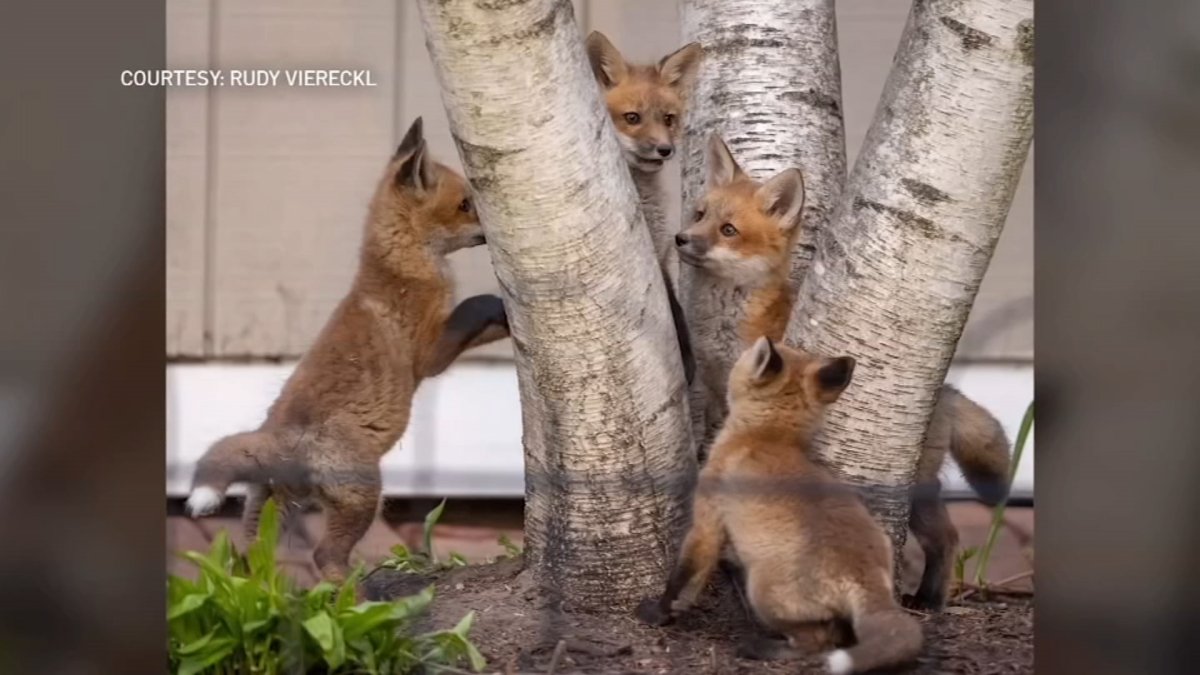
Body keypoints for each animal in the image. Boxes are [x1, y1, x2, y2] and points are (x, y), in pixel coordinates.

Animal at [183, 118, 510, 583]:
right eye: (466, 204)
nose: (496, 233)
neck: (403, 265)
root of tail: (278, 439)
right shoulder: (429, 353)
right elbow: (473, 306)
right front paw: (500, 305)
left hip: (272, 509)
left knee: (250, 560)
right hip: (362, 494)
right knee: (325, 556)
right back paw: (356, 593)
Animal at [637, 336, 923, 674]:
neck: (768, 437)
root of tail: (867, 576)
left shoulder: (707, 522)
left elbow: (684, 578)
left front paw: (659, 612)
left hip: (762, 592)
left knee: (815, 643)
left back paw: (759, 648)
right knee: (836, 636)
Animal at [677, 133, 1012, 610]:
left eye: (728, 230)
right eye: (700, 214)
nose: (680, 239)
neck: (723, 325)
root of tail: (941, 392)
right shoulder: (713, 389)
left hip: (912, 491)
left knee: (946, 538)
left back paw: (929, 601)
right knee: (946, 536)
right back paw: (929, 598)